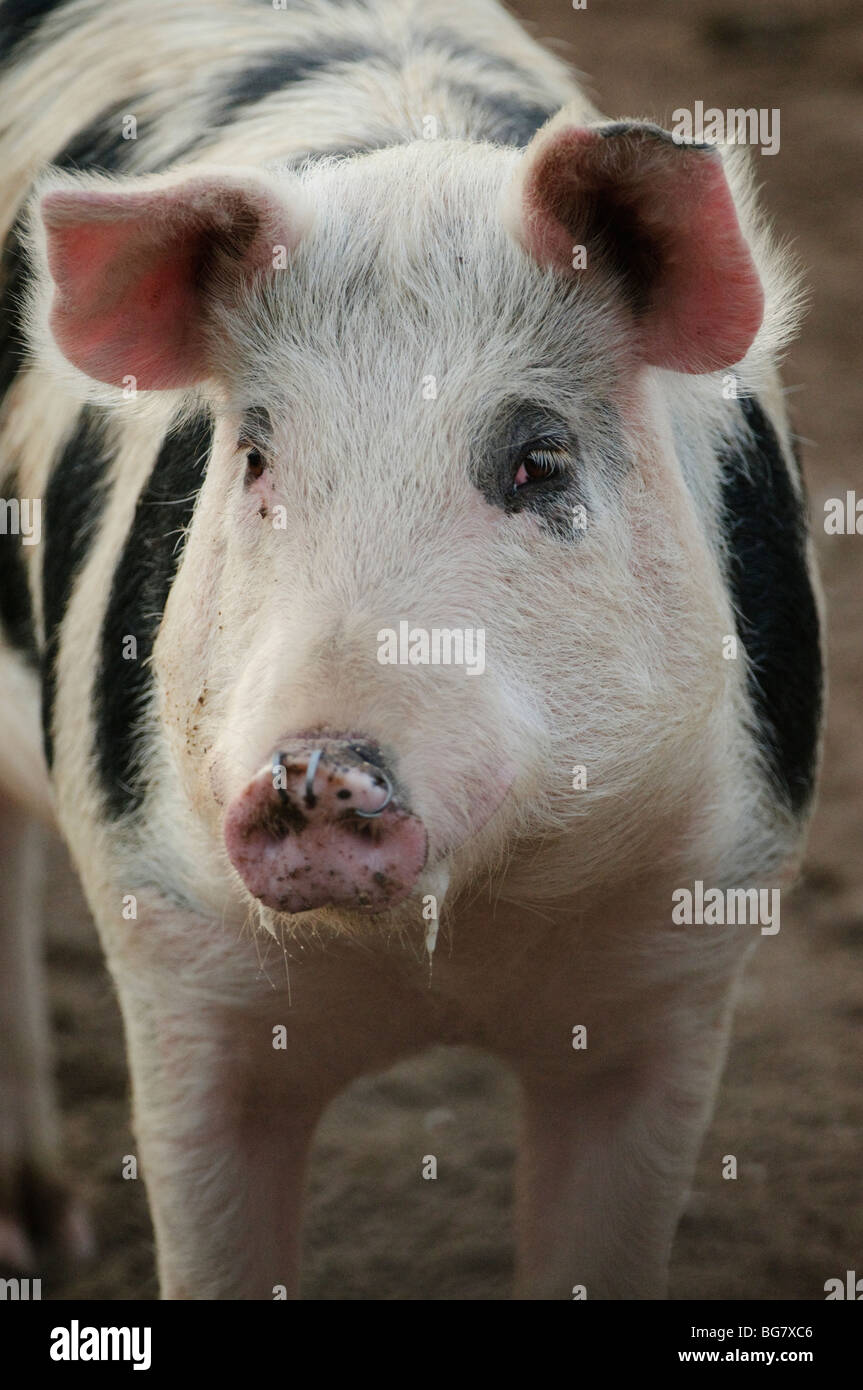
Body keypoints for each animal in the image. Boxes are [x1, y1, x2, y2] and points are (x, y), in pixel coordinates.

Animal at [0, 0, 823, 1299]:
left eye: (538, 459)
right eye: (255, 456)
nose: (314, 768)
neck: (447, 953)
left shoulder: (680, 971)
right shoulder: (175, 963)